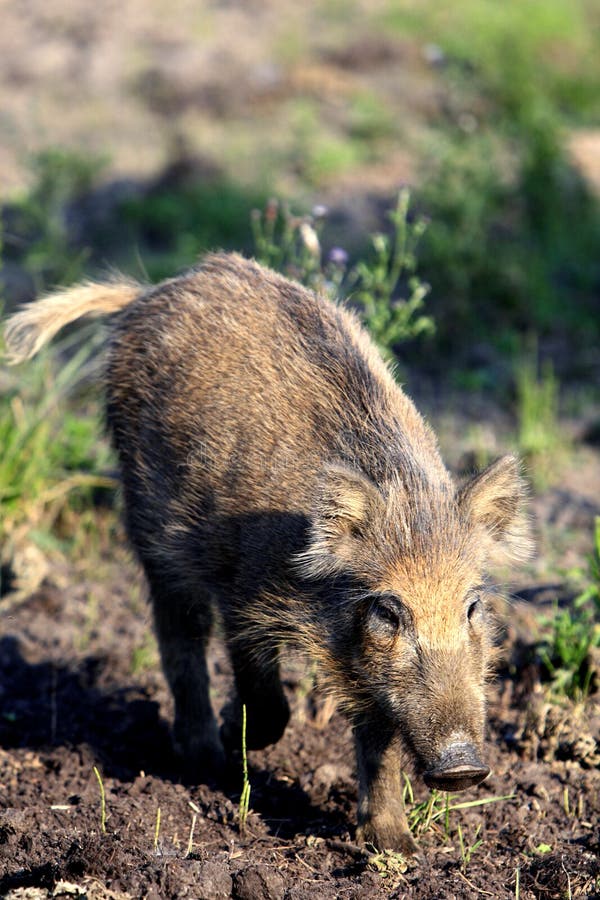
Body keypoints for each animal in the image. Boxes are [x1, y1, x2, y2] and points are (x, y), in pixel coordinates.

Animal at [4, 253, 531, 855]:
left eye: (472, 607)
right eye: (388, 610)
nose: (464, 767)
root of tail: (150, 293)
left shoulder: (364, 666)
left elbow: (379, 735)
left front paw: (394, 846)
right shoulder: (243, 590)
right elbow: (265, 692)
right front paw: (239, 738)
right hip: (150, 526)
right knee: (179, 634)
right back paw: (204, 755)